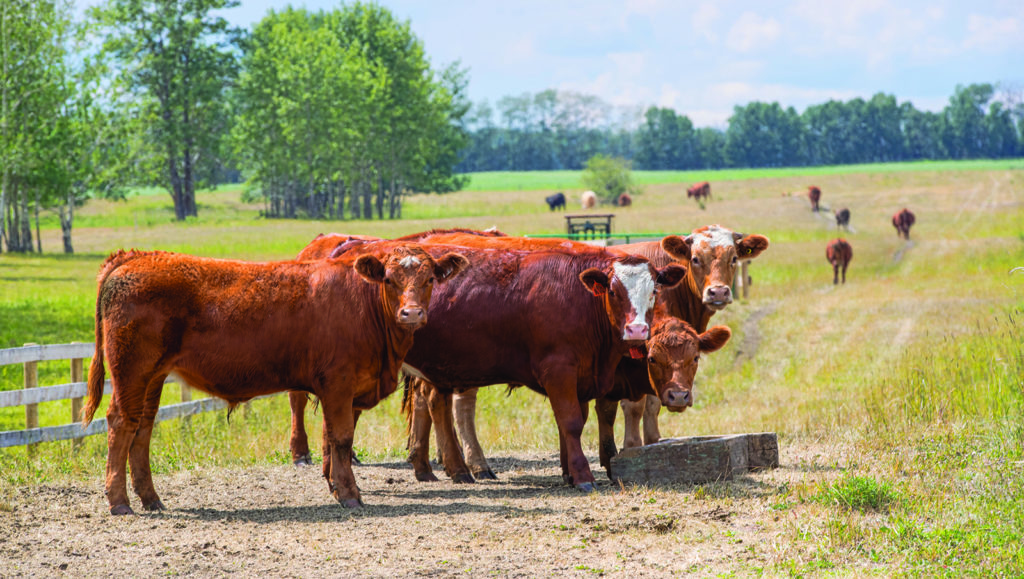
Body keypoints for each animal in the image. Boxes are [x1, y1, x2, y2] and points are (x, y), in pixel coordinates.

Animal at [81, 245, 469, 515]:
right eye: (389, 279)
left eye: (430, 279)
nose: (412, 313)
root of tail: (136, 257)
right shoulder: (339, 383)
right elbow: (342, 438)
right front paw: (349, 494)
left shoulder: (343, 388)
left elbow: (331, 438)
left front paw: (335, 486)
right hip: (132, 371)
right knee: (121, 423)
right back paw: (119, 501)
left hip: (153, 376)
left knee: (142, 428)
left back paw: (151, 499)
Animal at [288, 231, 689, 491]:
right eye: (614, 291)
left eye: (654, 290)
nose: (637, 330)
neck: (578, 297)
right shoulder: (559, 370)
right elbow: (572, 423)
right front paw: (583, 477)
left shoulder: (581, 378)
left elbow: (574, 423)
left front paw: (568, 472)